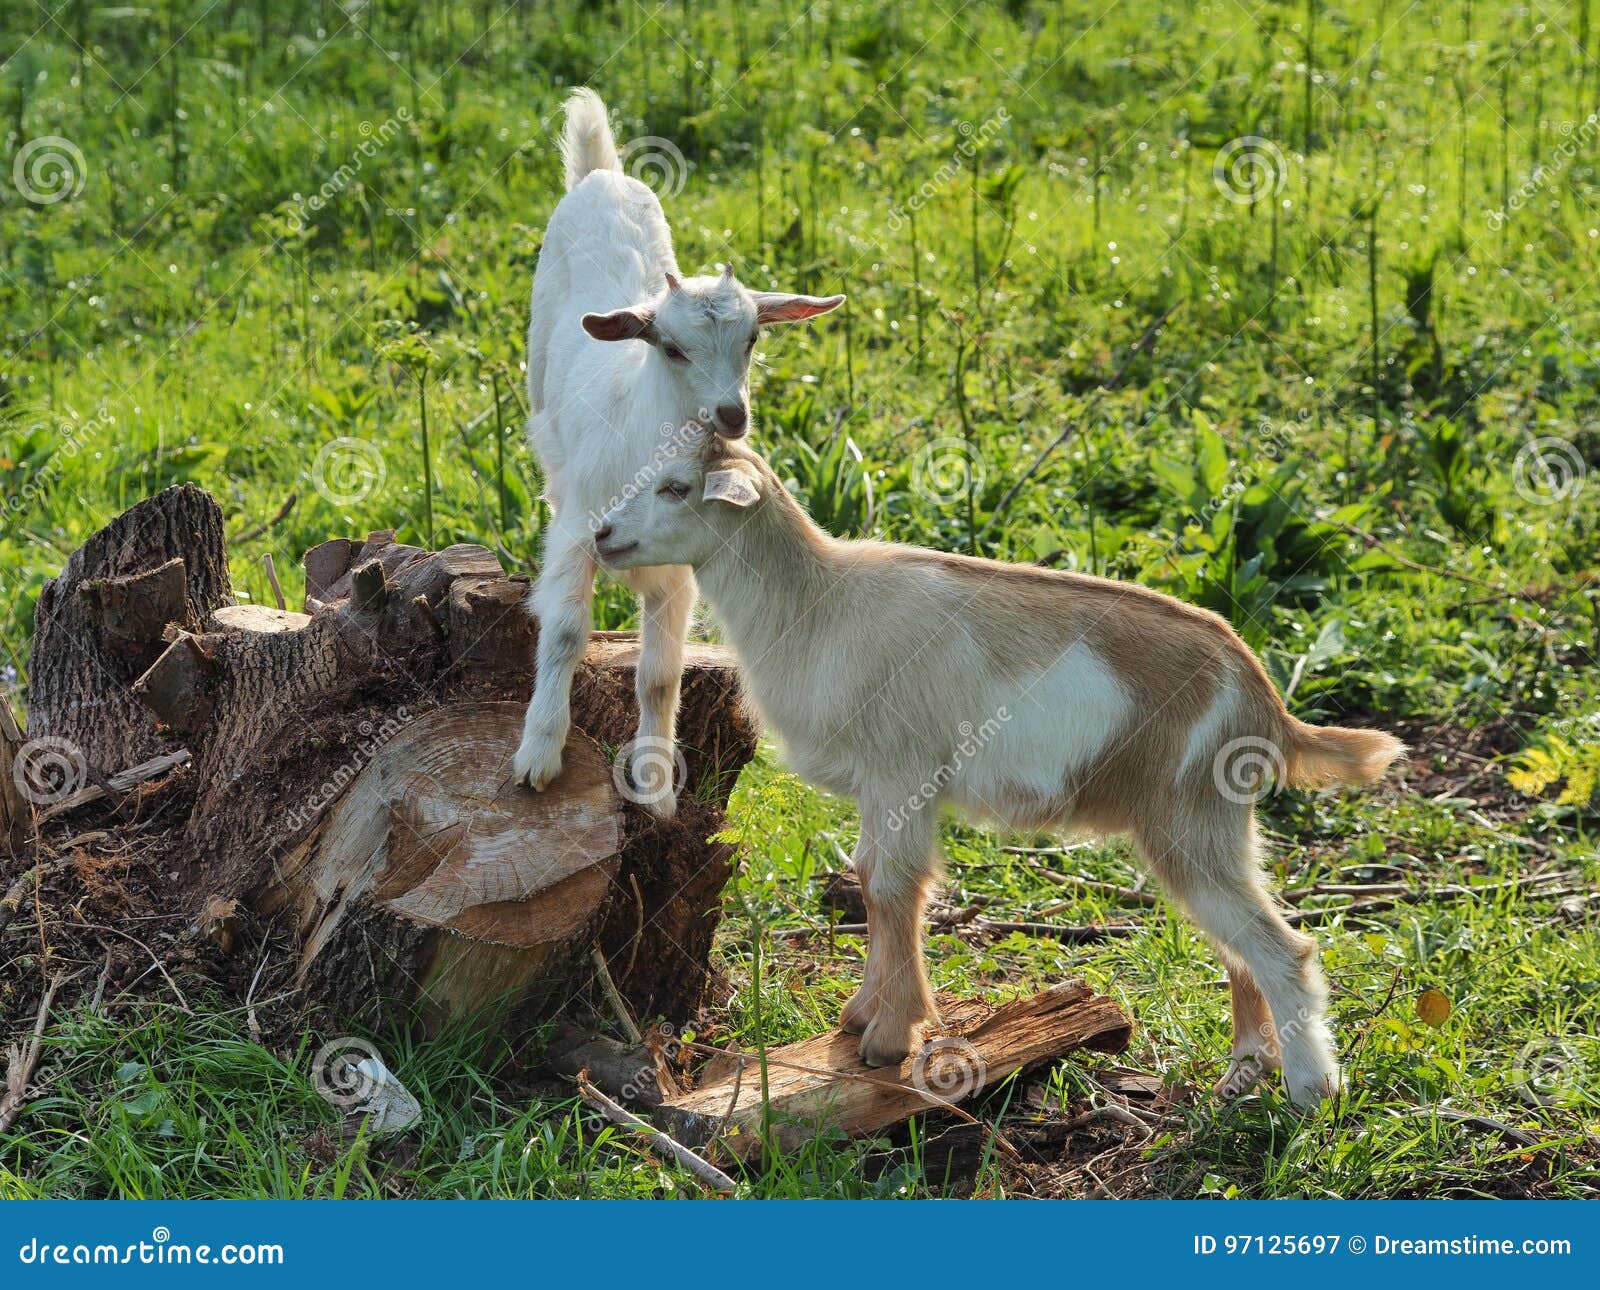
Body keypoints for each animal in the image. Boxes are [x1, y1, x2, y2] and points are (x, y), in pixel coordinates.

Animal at [514, 89, 843, 814]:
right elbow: (565, 633)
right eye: (669, 346)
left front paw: (658, 786)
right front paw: (537, 756)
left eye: (754, 337)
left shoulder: (680, 567)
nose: (731, 414)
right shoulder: (578, 531)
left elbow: (661, 675)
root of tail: (602, 175)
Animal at [589, 434, 1405, 1106]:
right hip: (1219, 824)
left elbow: (895, 886)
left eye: (676, 487)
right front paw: (861, 1018)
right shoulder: (880, 786)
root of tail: (1263, 698)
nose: (601, 534)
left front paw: (891, 1036)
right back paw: (1244, 1069)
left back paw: (1310, 1090)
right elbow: (869, 877)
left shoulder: (902, 770)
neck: (818, 604)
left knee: (1283, 947)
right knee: (1240, 942)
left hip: (1189, 812)